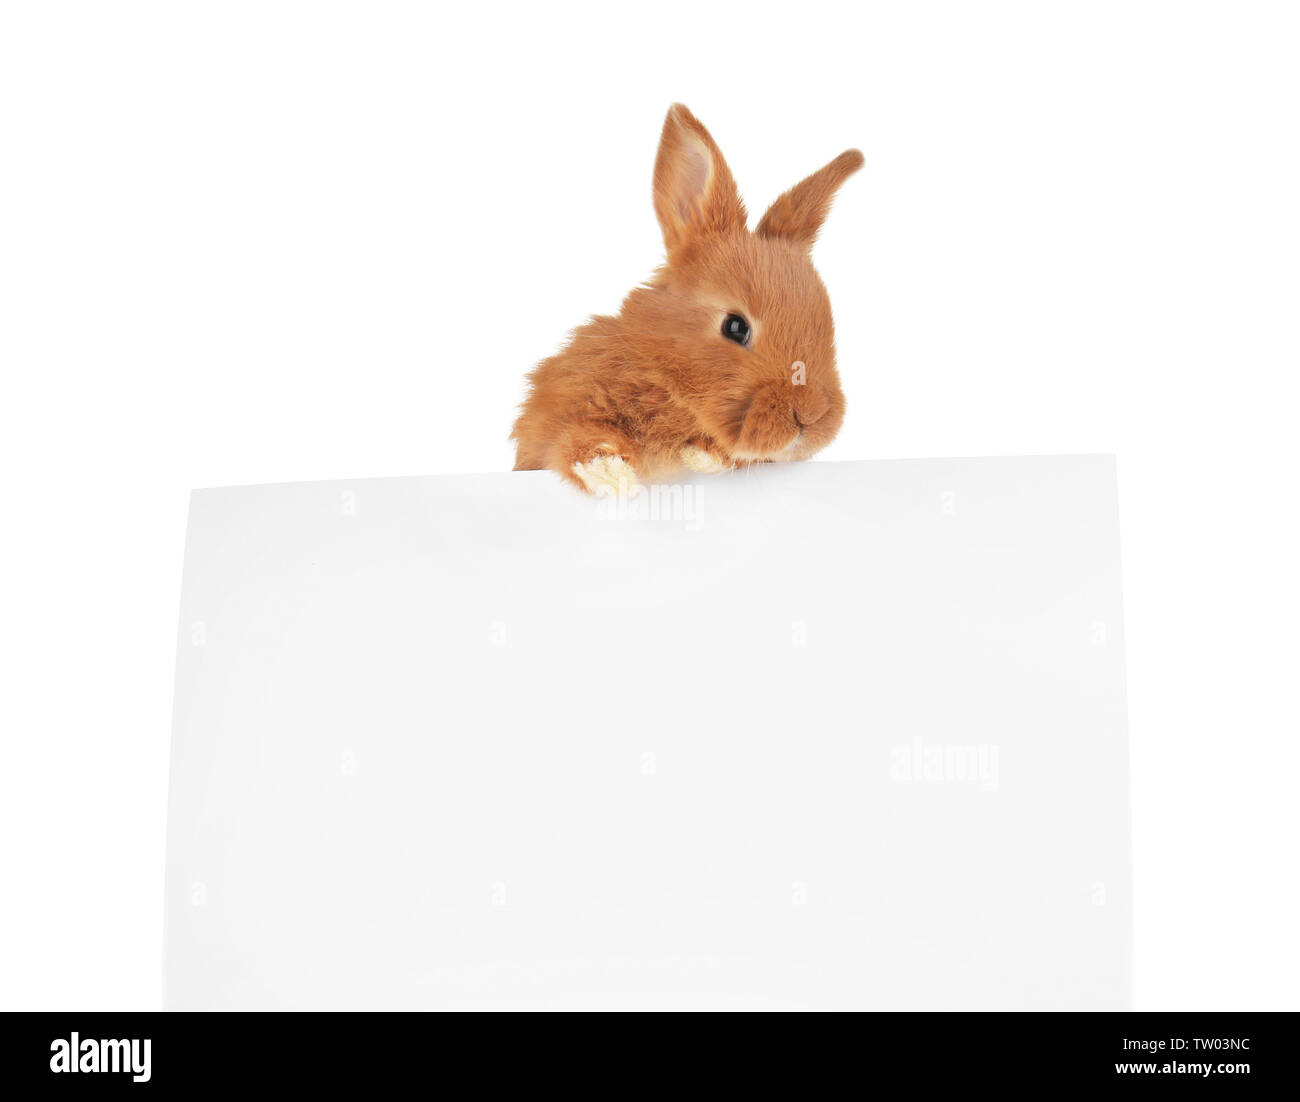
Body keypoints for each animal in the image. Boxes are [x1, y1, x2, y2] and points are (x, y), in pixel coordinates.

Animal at [511, 103, 862, 494]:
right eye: (735, 327)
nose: (810, 416)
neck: (667, 376)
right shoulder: (561, 410)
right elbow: (575, 438)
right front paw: (612, 475)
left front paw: (703, 455)